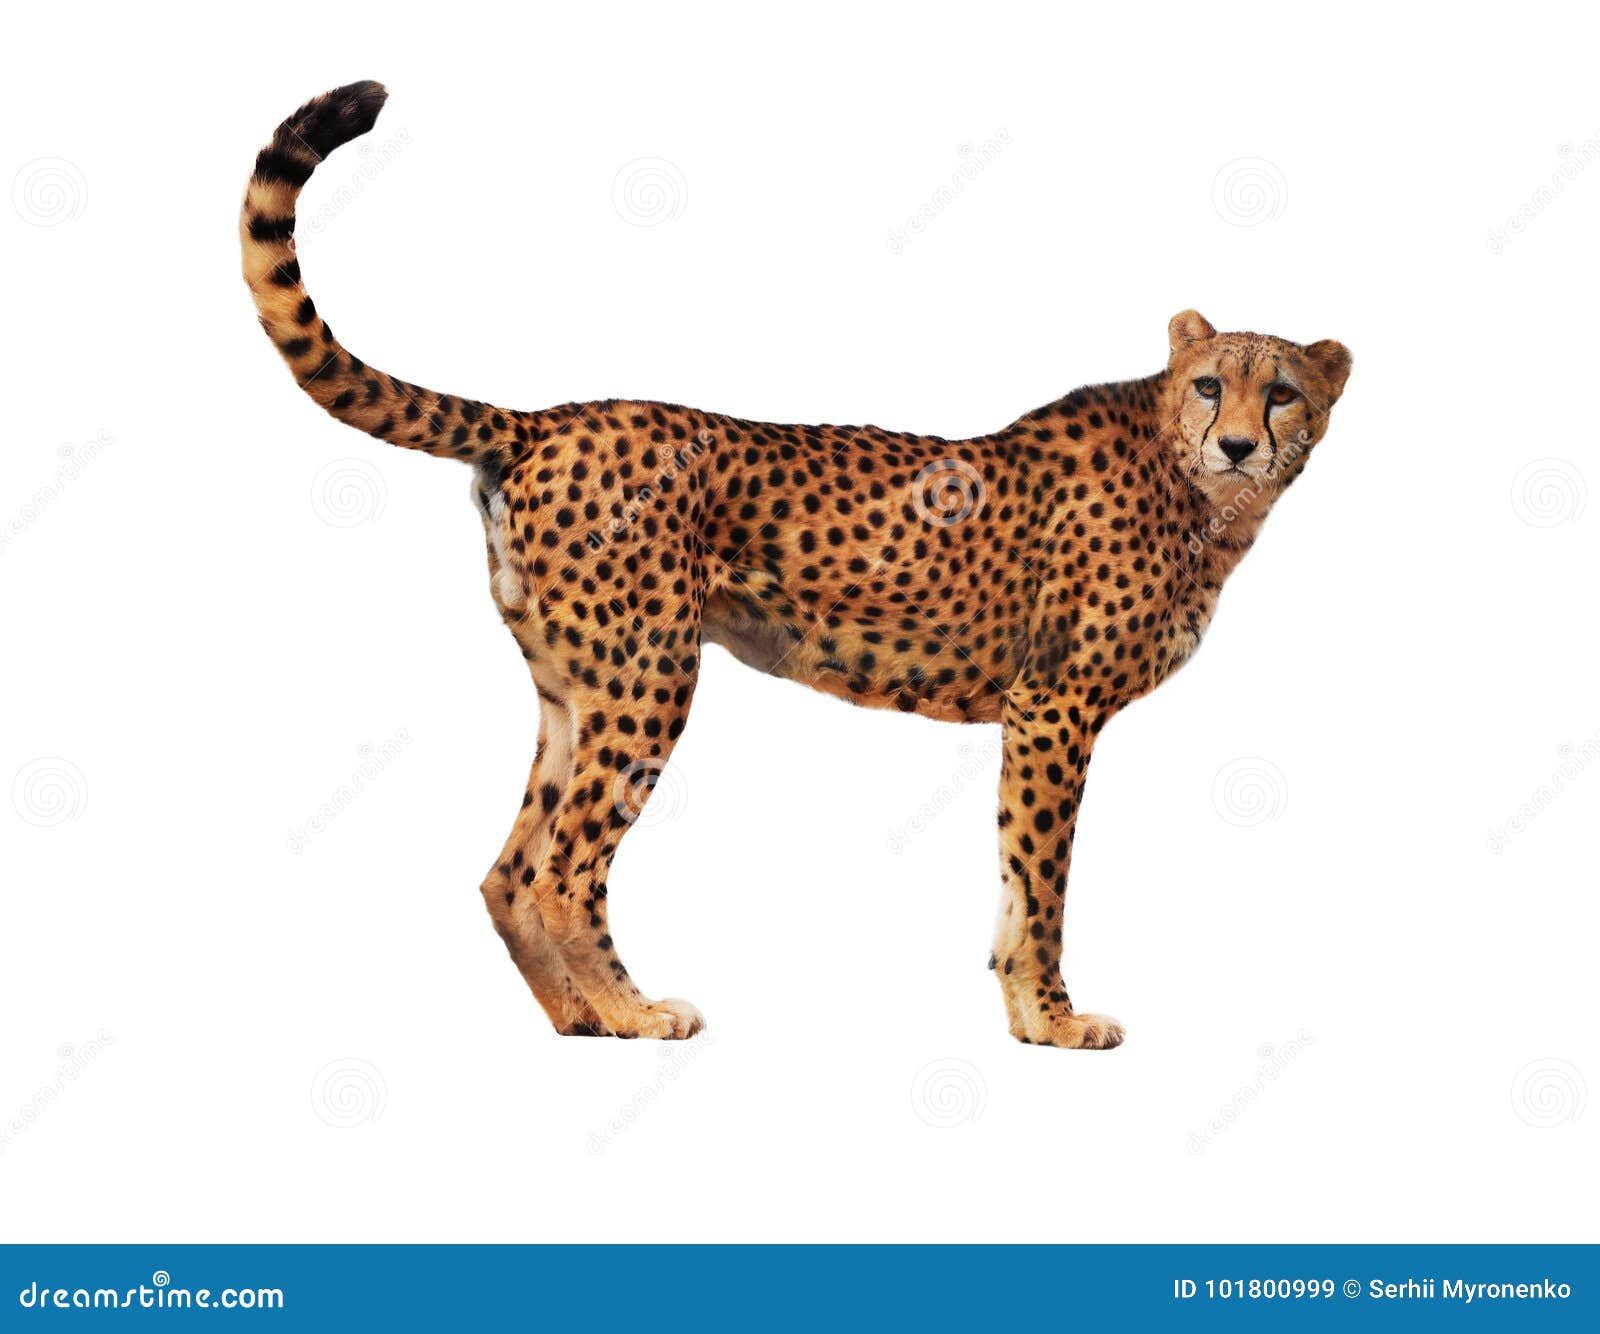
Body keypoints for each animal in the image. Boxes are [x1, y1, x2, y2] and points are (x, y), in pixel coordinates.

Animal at [242, 82, 1351, 1048]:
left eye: (1282, 393)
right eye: (1209, 385)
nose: (1239, 445)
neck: (1199, 491)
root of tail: (548, 416)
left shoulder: (1036, 712)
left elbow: (1014, 879)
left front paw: (1027, 1015)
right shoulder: (1054, 705)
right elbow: (1041, 880)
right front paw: (1056, 1021)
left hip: (572, 687)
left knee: (507, 872)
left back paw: (580, 1017)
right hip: (648, 677)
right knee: (562, 870)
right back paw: (637, 1012)